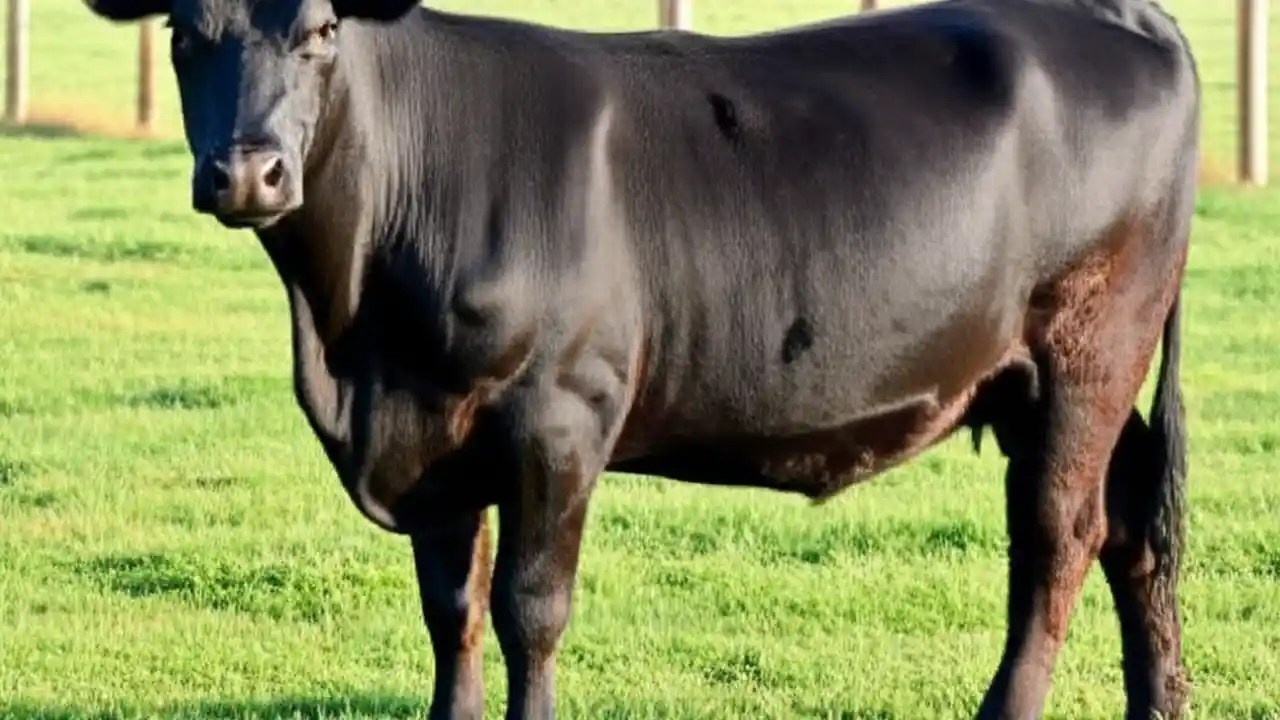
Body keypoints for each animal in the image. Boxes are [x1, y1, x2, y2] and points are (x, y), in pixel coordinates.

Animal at [86, 0, 1200, 717]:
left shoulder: (560, 416)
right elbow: (451, 613)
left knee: (1057, 539)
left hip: (1088, 350)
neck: (352, 340)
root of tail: (1122, 13)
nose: (247, 172)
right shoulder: (434, 436)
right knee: (1133, 533)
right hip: (1038, 379)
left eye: (320, 31)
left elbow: (528, 610)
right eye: (184, 32)